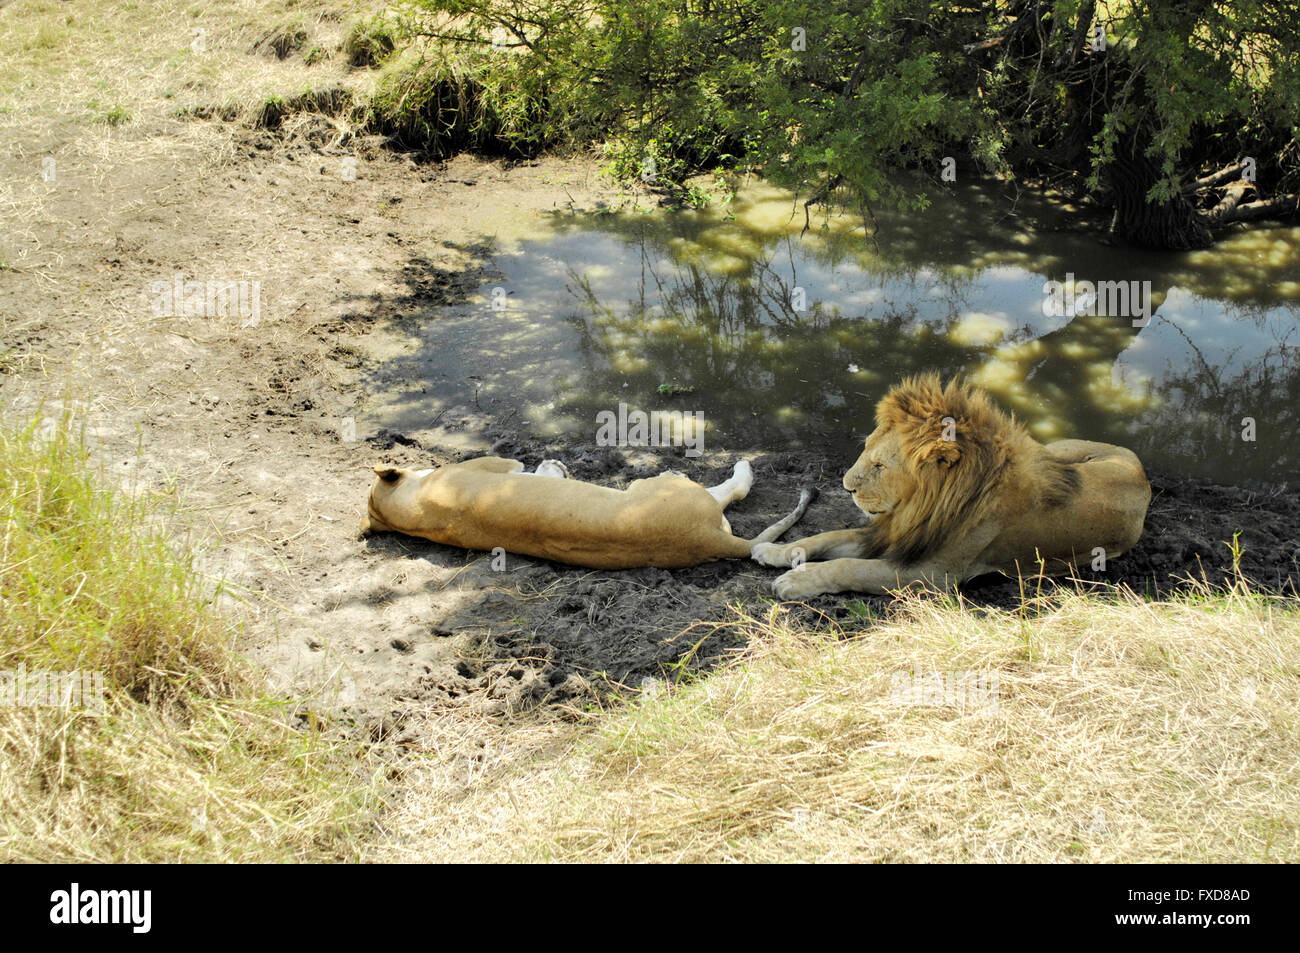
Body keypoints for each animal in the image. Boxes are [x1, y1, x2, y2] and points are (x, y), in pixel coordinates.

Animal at [752, 374, 1152, 598]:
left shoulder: (932, 572)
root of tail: (1140, 469)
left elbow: (849, 567)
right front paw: (774, 551)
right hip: (1052, 449)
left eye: (879, 466)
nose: (846, 487)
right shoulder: (893, 533)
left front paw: (797, 580)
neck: (920, 507)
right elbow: (826, 537)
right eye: (865, 449)